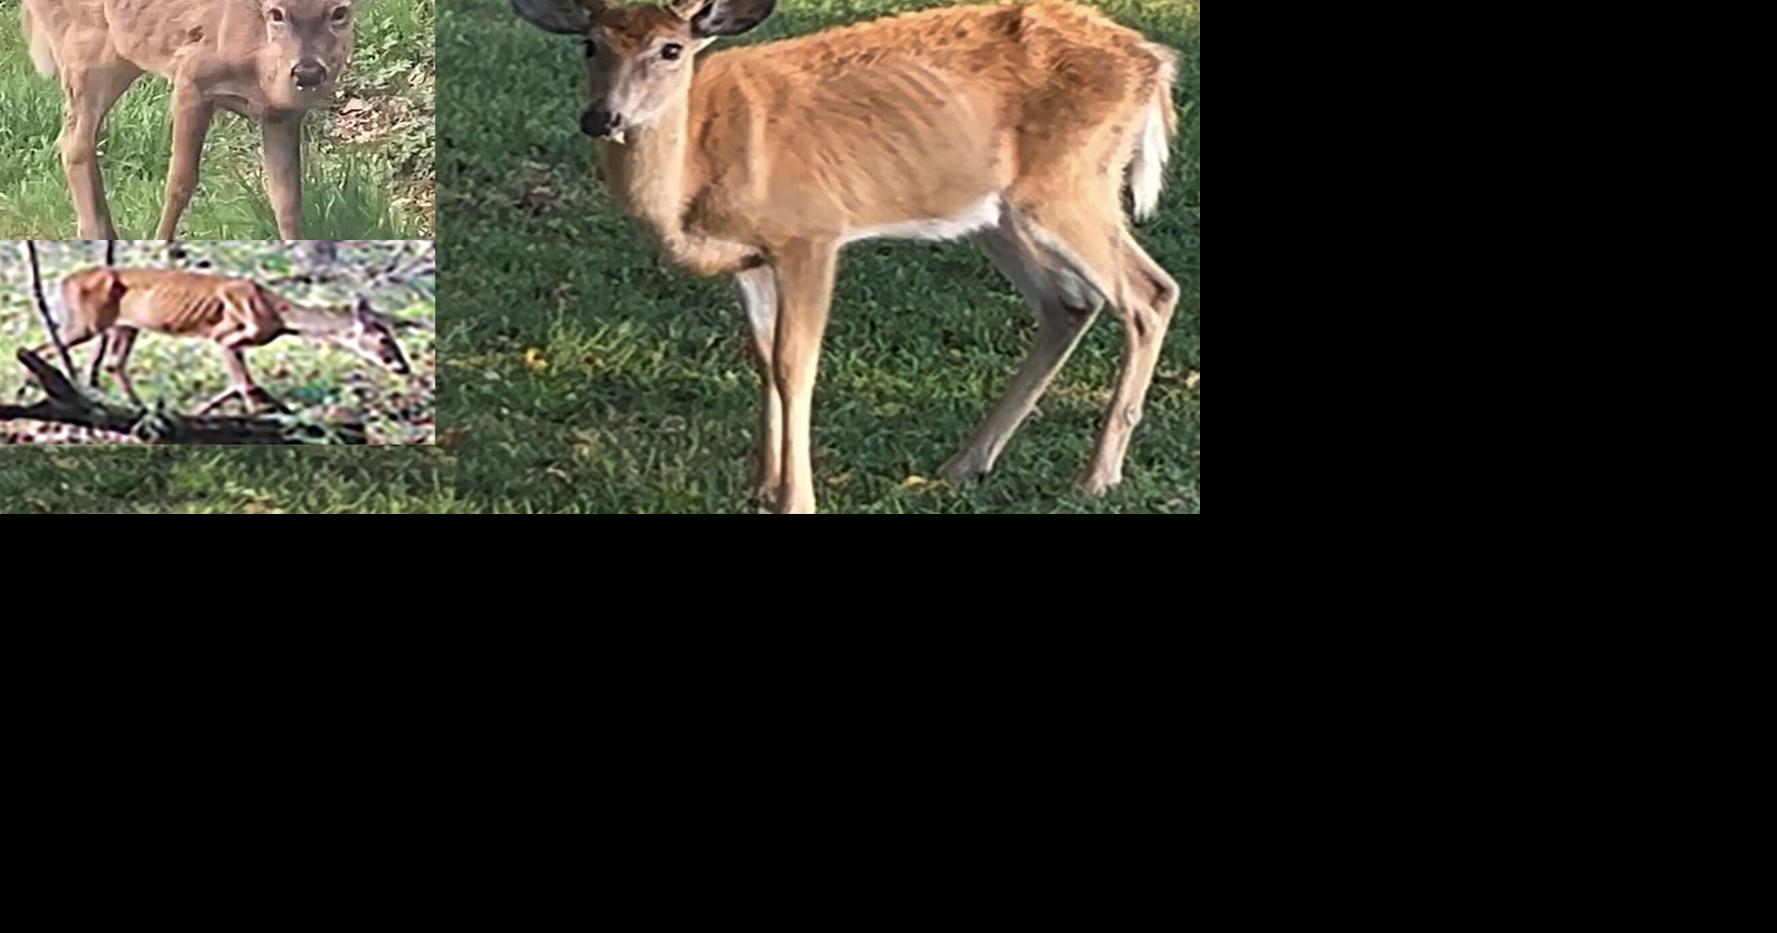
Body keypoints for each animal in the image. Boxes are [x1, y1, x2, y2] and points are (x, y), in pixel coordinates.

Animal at [19, 0, 356, 239]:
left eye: (339, 12)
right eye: (277, 13)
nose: (308, 72)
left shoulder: (281, 116)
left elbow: (287, 199)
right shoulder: (191, 79)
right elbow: (180, 183)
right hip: (87, 48)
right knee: (74, 141)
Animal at [30, 266, 412, 415]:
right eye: (382, 338)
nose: (403, 367)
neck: (279, 313)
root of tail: (65, 280)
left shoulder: (234, 343)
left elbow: (235, 386)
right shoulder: (227, 334)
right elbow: (247, 386)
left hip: (126, 325)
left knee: (112, 363)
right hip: (87, 322)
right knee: (46, 345)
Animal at [512, 0, 1182, 513]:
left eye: (671, 49)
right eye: (591, 45)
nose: (602, 116)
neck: (693, 176)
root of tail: (1155, 63)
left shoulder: (811, 232)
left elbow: (795, 366)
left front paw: (795, 498)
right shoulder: (751, 259)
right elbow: (762, 359)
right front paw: (761, 485)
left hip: (1069, 183)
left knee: (1149, 292)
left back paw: (1096, 478)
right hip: (998, 211)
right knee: (1068, 302)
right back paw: (965, 464)